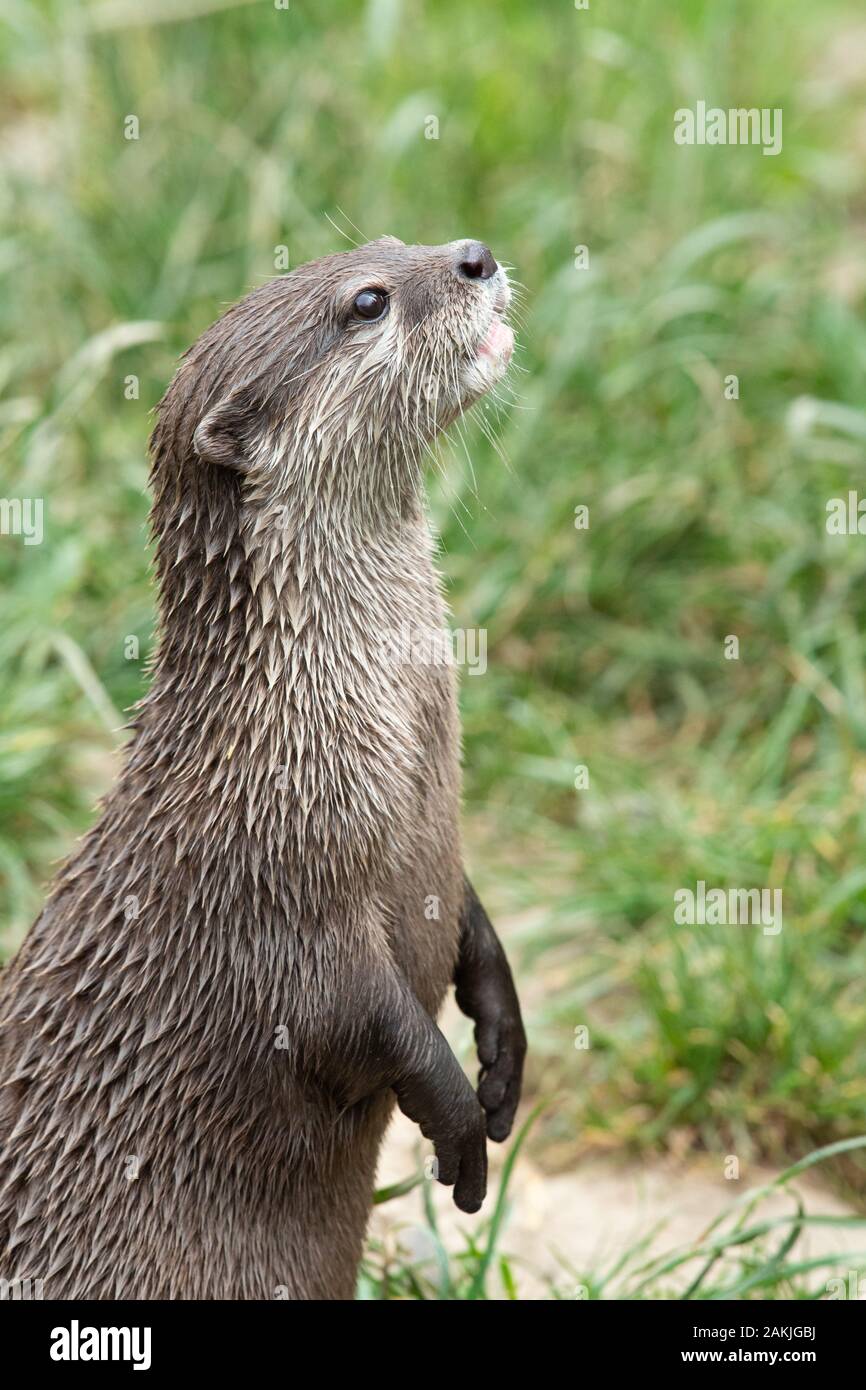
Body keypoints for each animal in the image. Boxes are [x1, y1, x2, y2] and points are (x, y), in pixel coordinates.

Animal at [0, 236, 526, 1300]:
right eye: (367, 302)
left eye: (389, 243)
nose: (473, 255)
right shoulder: (270, 888)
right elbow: (352, 1020)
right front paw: (459, 1123)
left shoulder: (438, 841)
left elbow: (467, 918)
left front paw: (501, 1052)